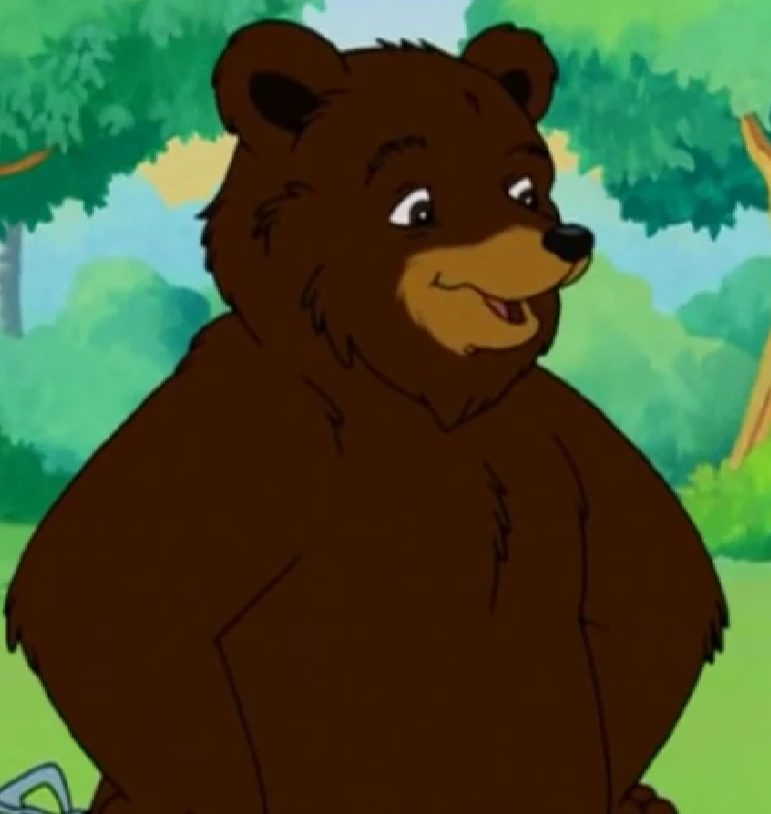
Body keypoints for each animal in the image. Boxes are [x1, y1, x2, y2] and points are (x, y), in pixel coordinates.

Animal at [4, 19, 727, 814]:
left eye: (525, 191)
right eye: (416, 205)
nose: (569, 239)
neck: (413, 393)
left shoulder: (557, 433)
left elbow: (655, 587)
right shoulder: (235, 422)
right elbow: (101, 598)